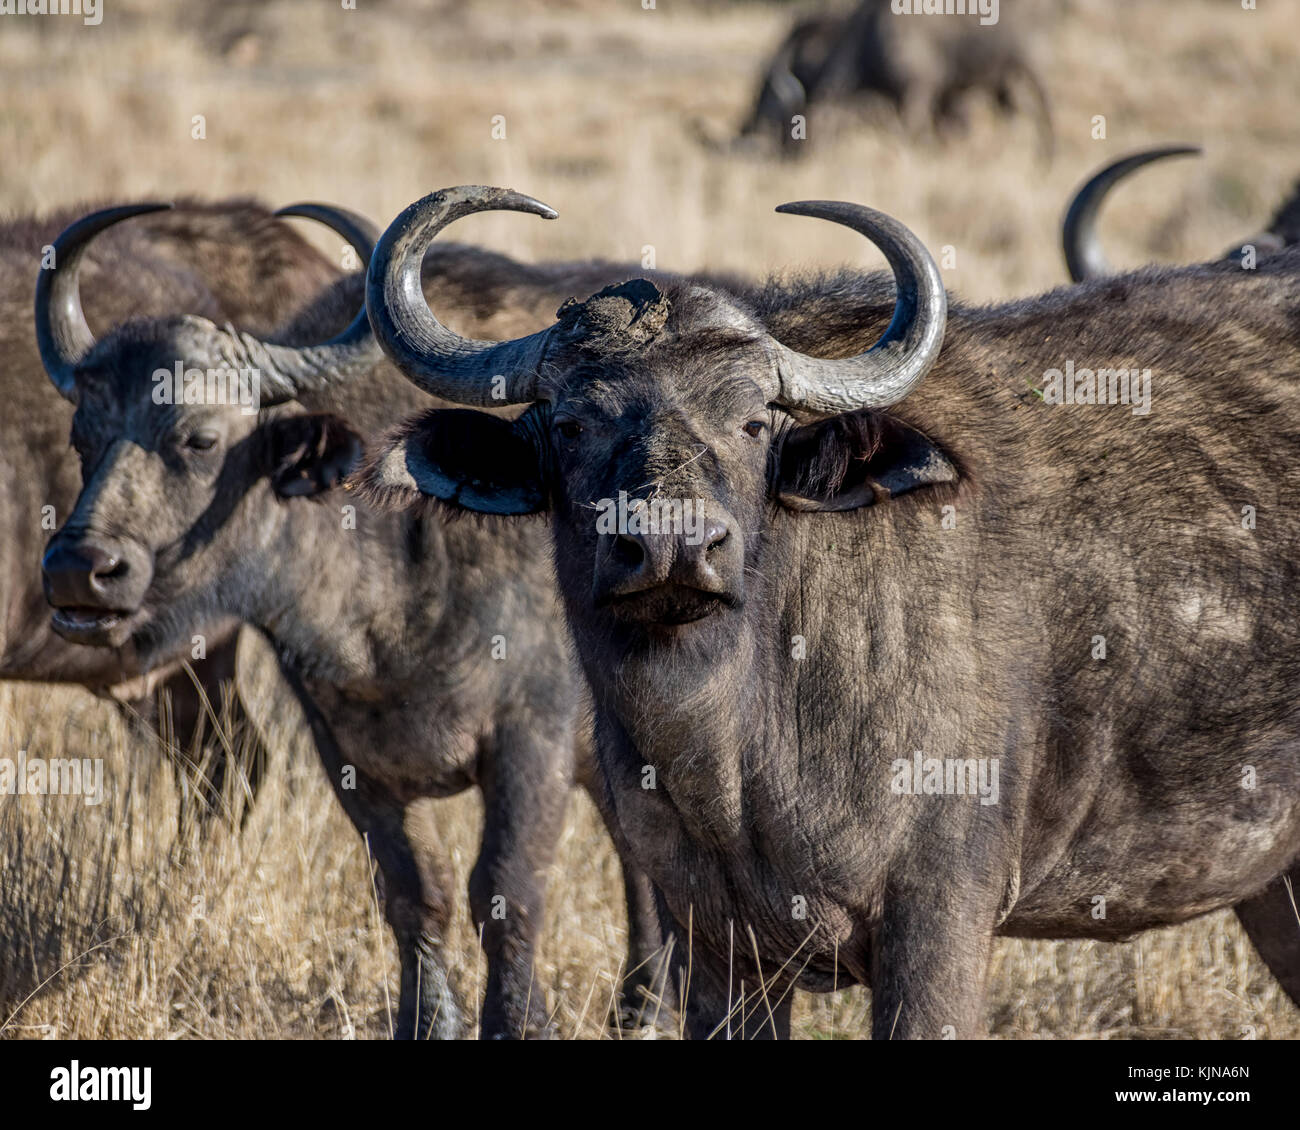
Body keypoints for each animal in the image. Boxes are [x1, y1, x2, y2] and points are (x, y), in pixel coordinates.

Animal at [365, 185, 1300, 1038]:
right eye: (569, 424)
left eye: (751, 422)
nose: (670, 546)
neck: (736, 742)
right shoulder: (714, 947)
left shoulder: (938, 920)